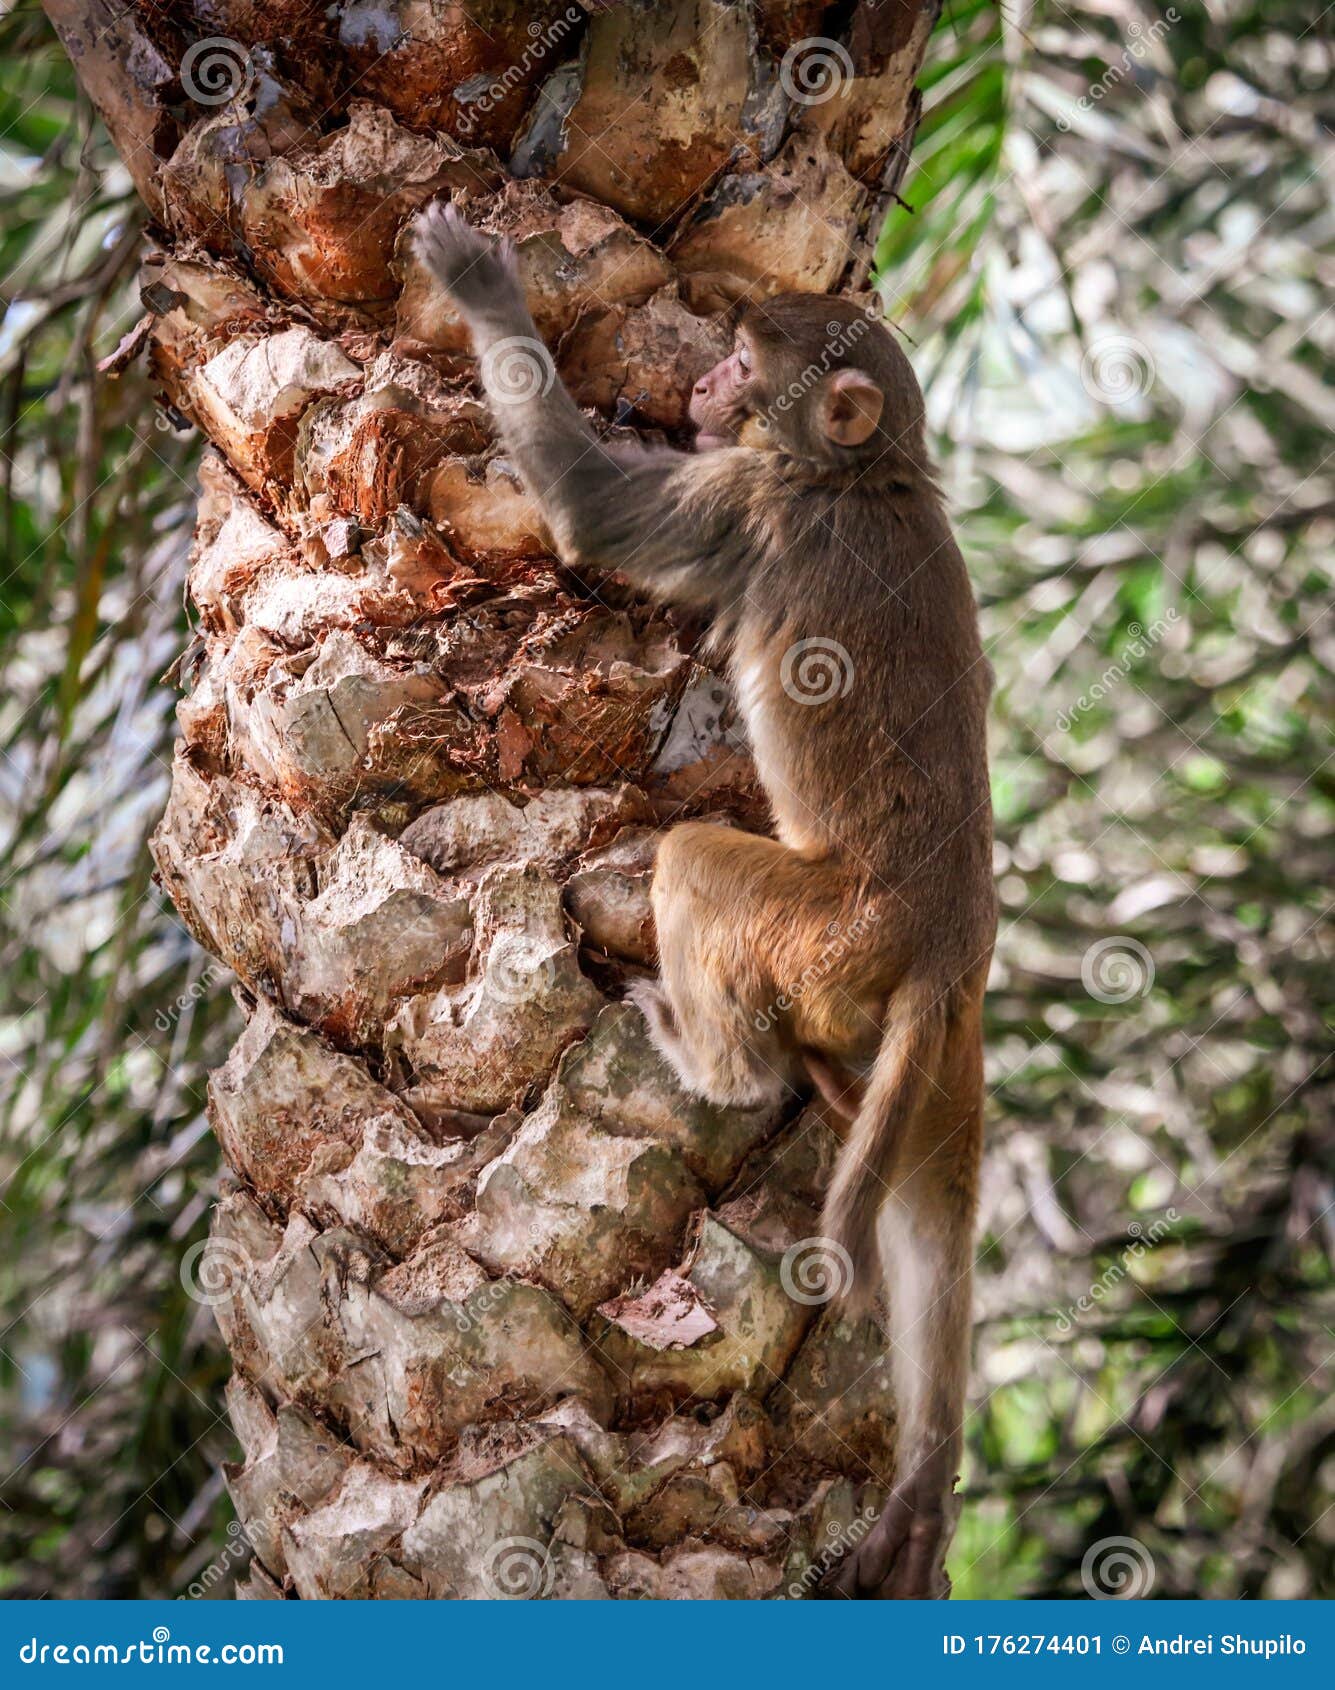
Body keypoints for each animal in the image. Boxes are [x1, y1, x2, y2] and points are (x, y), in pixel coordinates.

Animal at [416, 201, 997, 1600]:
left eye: (748, 358)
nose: (707, 382)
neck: (862, 470)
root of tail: (944, 946)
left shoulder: (748, 499)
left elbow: (589, 511)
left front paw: (483, 284)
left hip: (825, 930)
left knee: (694, 866)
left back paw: (706, 1057)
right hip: (941, 1040)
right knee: (929, 1205)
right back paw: (923, 1475)